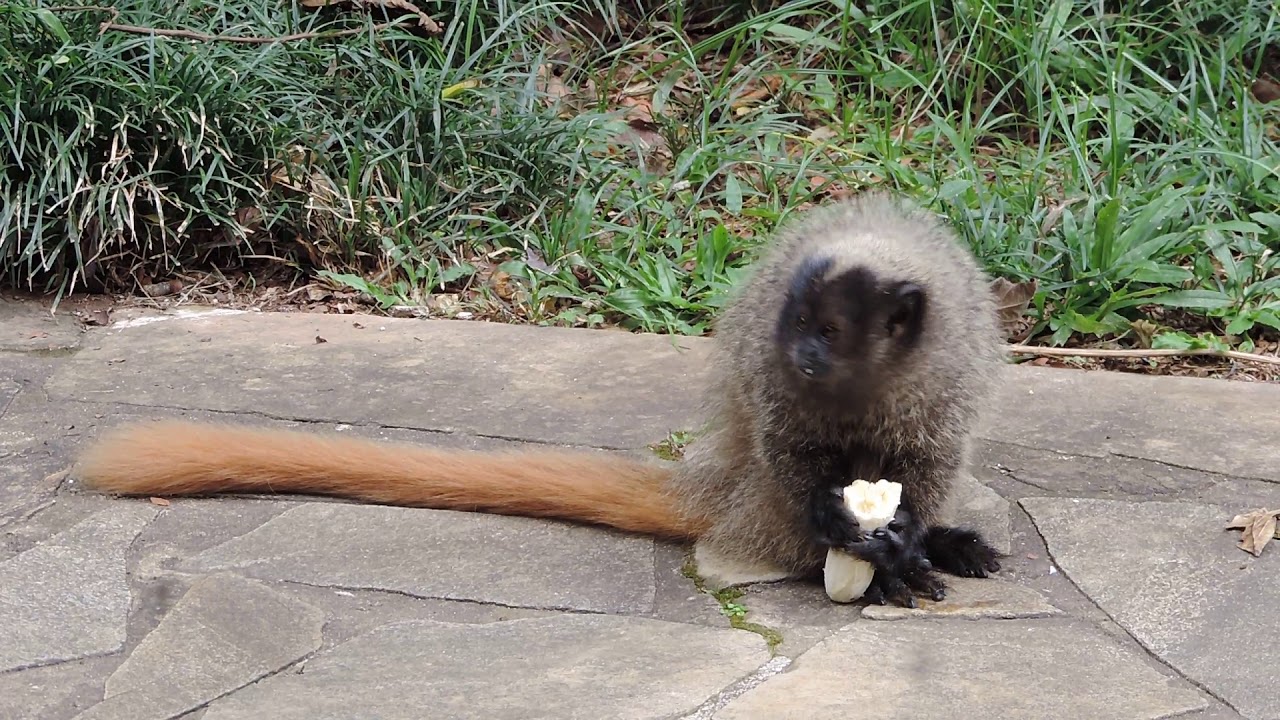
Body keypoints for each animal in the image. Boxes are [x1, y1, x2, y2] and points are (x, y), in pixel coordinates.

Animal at [73, 191, 1004, 606]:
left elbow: (933, 452)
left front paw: (912, 538)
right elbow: (796, 449)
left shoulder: (949, 359)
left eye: (832, 331)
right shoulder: (773, 367)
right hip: (761, 504)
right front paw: (859, 538)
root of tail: (721, 493)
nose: (805, 352)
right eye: (802, 325)